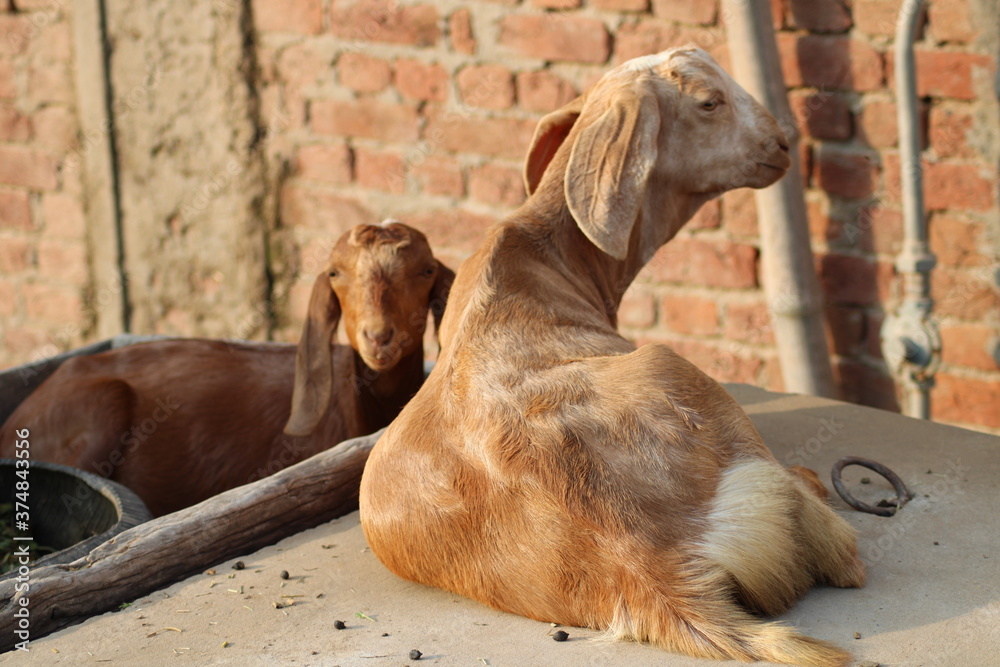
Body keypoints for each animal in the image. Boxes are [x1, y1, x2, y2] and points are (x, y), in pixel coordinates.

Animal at [359, 48, 865, 667]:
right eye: (709, 102)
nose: (781, 146)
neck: (551, 256)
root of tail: (652, 570)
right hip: (685, 378)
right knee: (843, 554)